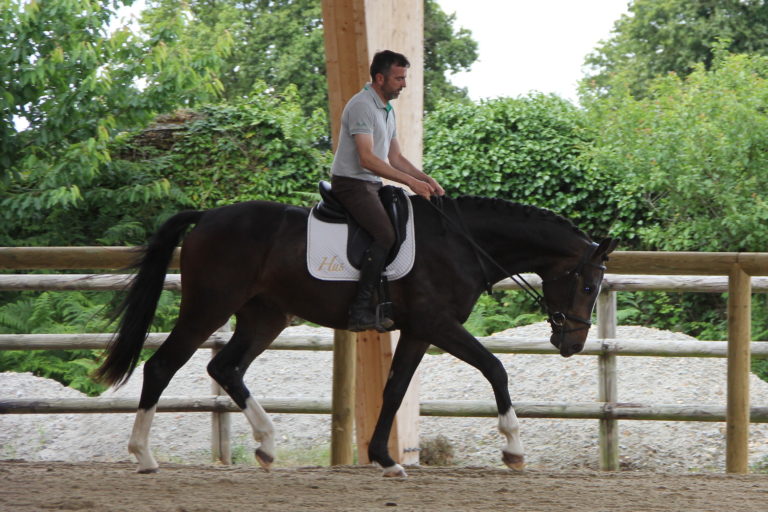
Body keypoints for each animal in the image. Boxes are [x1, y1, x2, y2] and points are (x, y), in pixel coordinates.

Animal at [94, 192, 618, 477]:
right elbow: (495, 368)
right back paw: (144, 456)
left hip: (265, 316)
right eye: (587, 285)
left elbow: (395, 389)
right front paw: (513, 449)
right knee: (162, 366)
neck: (461, 244)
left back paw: (266, 444)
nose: (572, 344)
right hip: (209, 306)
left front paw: (385, 459)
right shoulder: (438, 324)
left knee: (225, 366)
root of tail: (207, 216)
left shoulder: (419, 331)